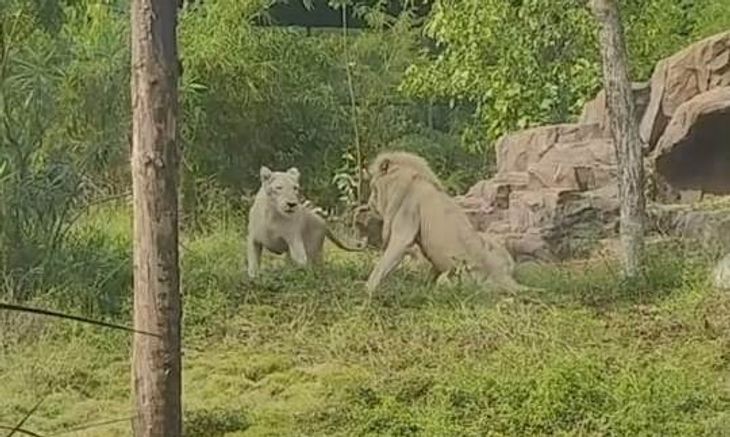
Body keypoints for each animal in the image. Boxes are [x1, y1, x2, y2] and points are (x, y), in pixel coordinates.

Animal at [364, 151, 529, 292]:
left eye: (372, 187)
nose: (369, 202)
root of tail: (502, 277)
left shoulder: (404, 228)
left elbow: (383, 264)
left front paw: (367, 289)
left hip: (456, 278)